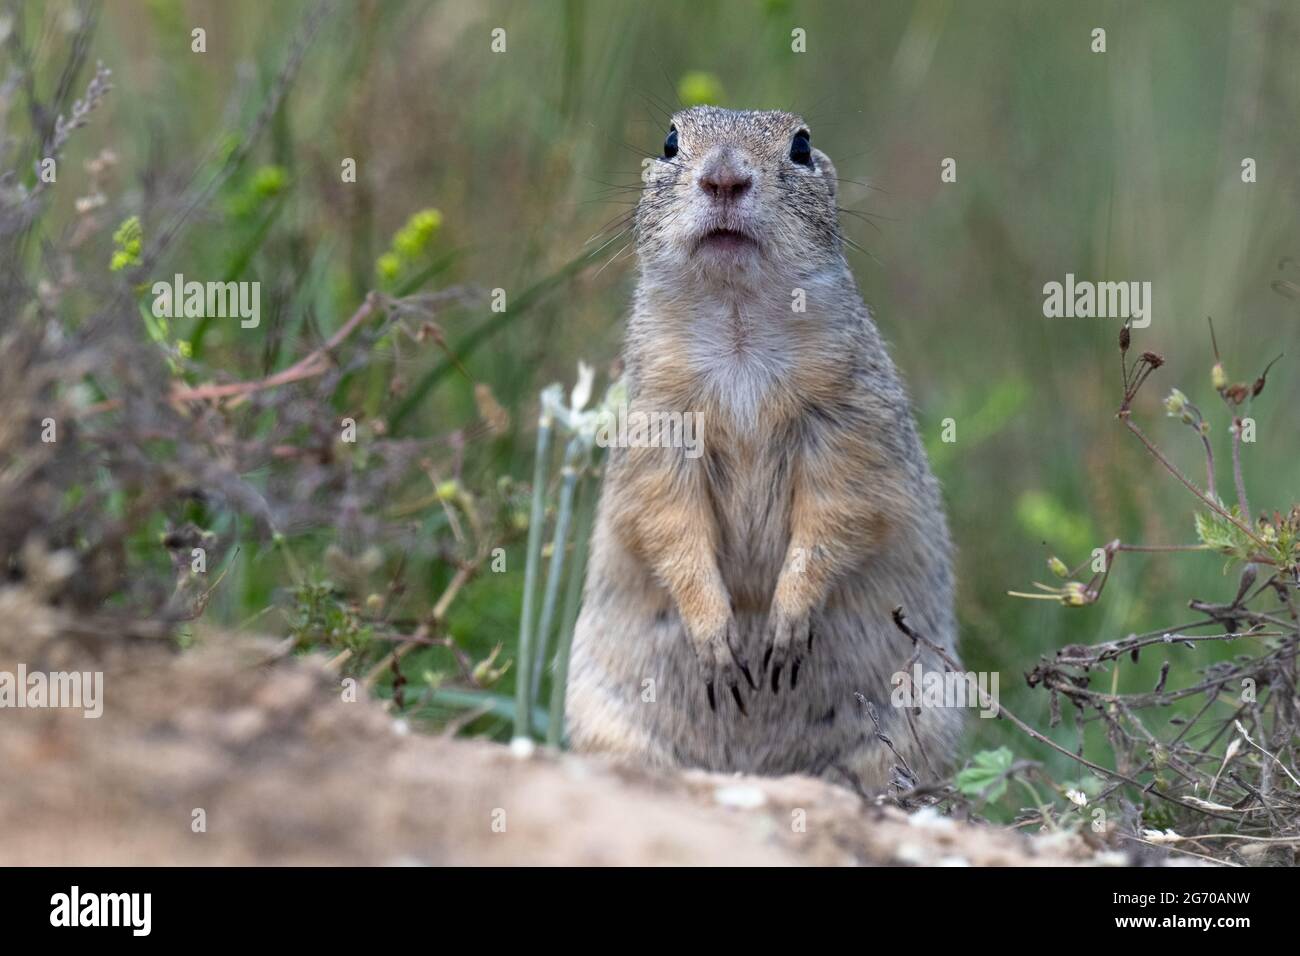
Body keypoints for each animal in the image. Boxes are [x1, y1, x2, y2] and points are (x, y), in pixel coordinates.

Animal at [565, 107, 962, 790]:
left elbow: (841, 511)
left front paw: (784, 625)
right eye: (669, 141)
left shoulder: (847, 422)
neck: (738, 327)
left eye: (801, 146)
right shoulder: (657, 424)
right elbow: (666, 520)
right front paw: (718, 639)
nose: (724, 176)